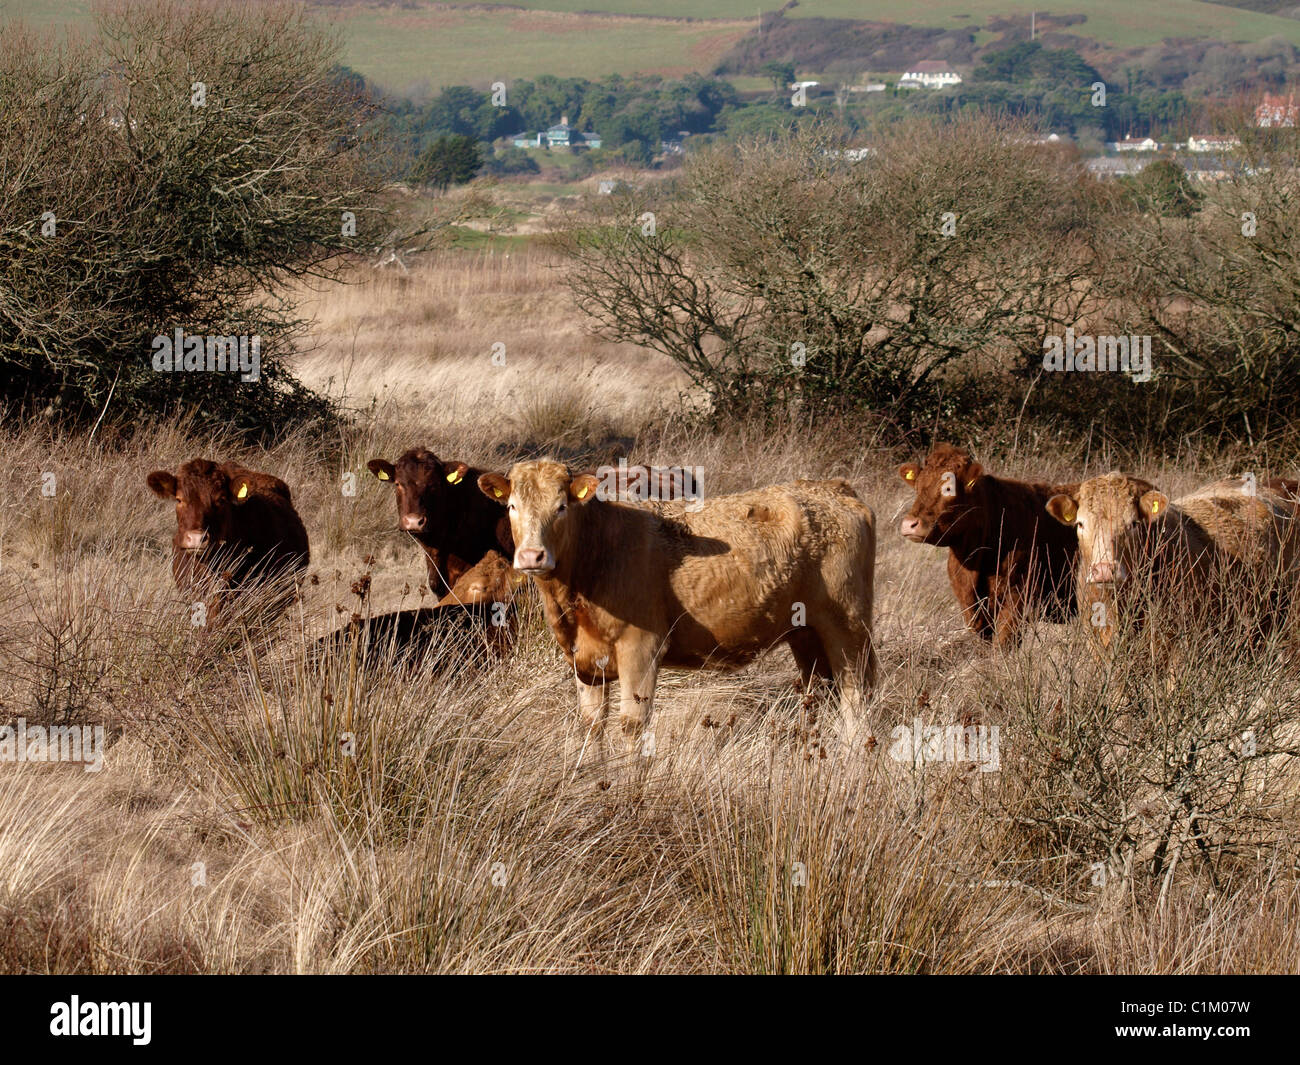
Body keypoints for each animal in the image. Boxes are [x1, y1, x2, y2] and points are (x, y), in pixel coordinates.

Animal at [478, 459, 877, 756]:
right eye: (512, 507)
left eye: (561, 507)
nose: (532, 556)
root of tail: (831, 487)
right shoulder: (585, 662)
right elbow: (591, 727)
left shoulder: (641, 648)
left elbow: (633, 726)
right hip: (805, 634)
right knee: (821, 694)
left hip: (847, 625)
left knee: (855, 696)